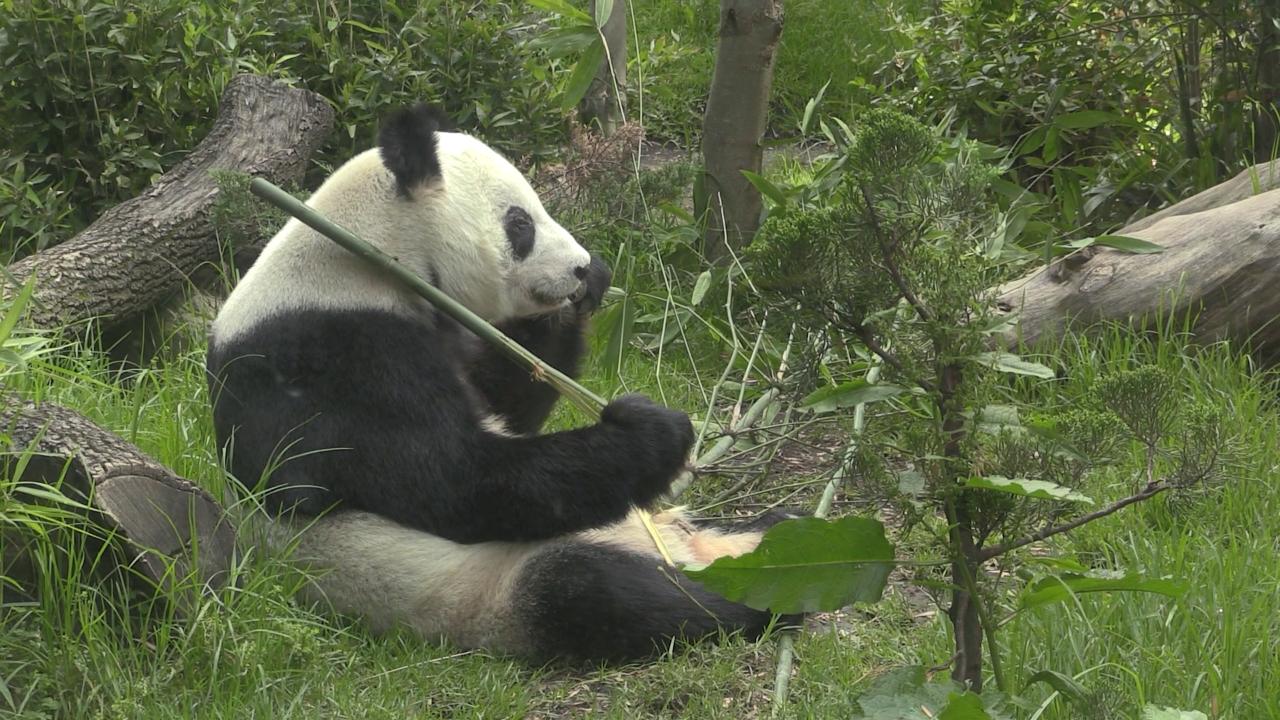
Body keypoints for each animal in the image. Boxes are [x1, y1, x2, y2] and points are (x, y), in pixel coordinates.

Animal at [206, 104, 791, 663]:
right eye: (520, 223)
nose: (581, 269)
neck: (363, 252)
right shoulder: (331, 360)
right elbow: (459, 480)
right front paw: (652, 430)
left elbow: (508, 403)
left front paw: (580, 301)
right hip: (471, 586)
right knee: (593, 589)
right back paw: (746, 603)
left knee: (754, 534)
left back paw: (780, 533)